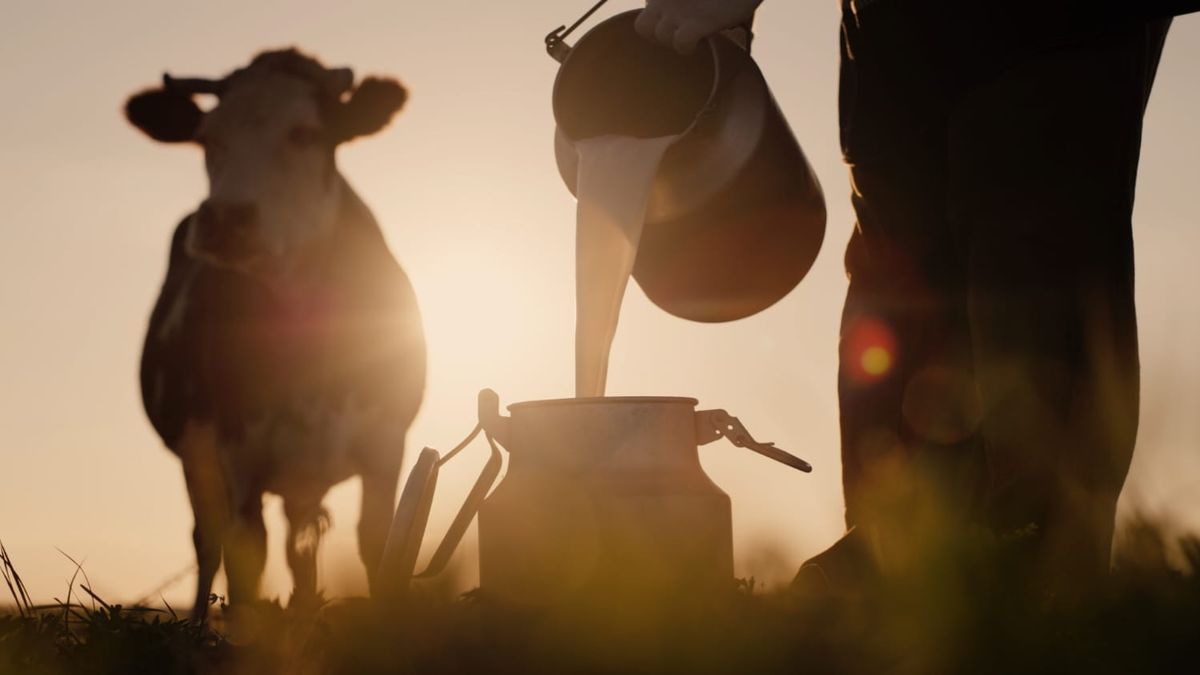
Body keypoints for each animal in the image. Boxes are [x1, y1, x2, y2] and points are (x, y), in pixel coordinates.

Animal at [125, 49, 426, 619]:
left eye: (306, 133)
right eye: (208, 138)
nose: (224, 218)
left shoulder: (385, 445)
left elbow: (377, 546)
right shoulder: (240, 459)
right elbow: (246, 563)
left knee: (300, 545)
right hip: (200, 459)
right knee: (208, 541)